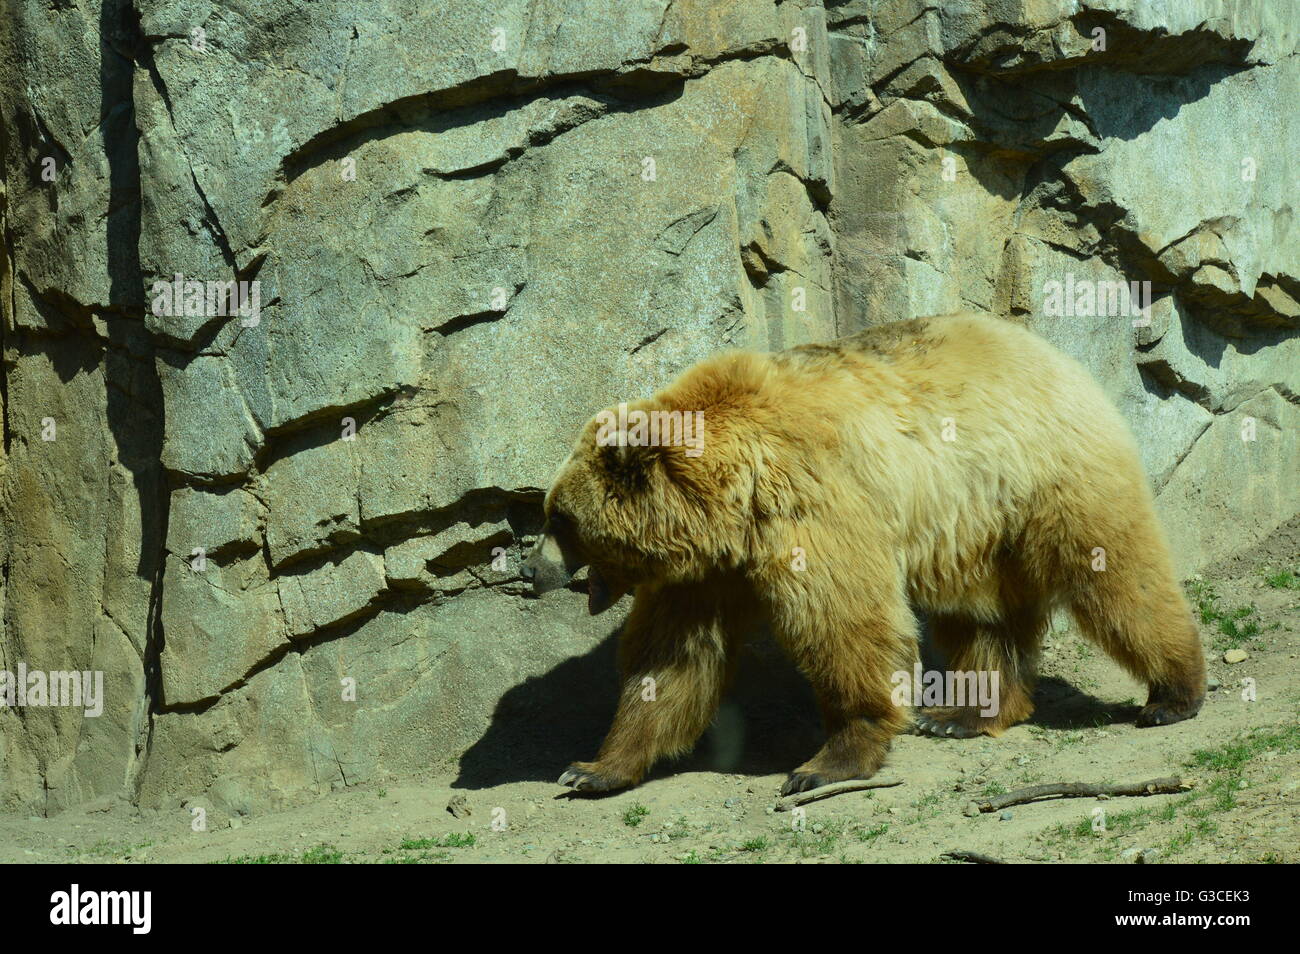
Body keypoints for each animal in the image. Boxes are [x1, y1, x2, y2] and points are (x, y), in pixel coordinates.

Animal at [522, 313, 1206, 795]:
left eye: (558, 517)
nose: (529, 568)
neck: (730, 499)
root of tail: (1052, 352)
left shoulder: (813, 504)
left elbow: (844, 620)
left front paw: (825, 762)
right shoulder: (707, 570)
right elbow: (673, 658)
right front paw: (592, 768)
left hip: (1045, 476)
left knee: (1115, 572)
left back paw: (1173, 694)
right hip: (972, 526)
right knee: (981, 615)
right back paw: (964, 712)